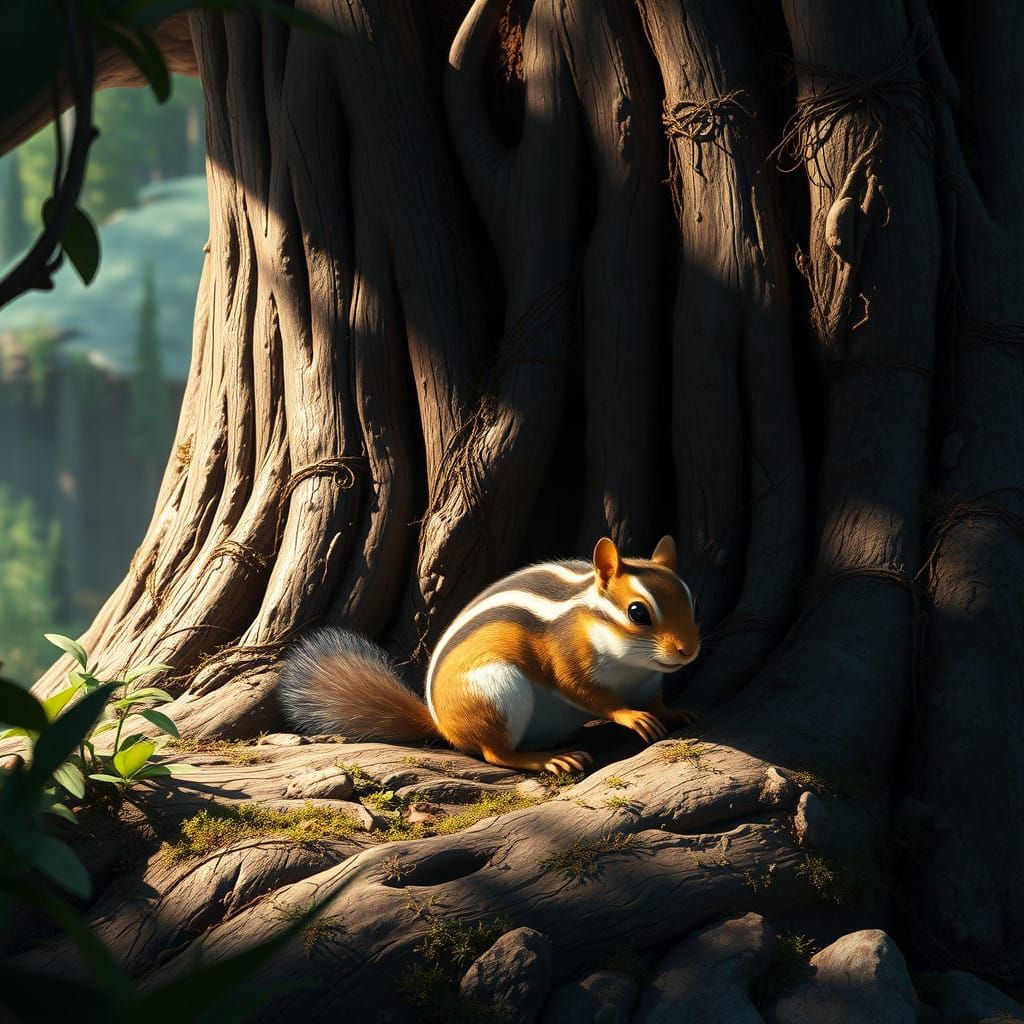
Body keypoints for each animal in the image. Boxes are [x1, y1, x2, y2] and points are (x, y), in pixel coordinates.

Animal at [277, 535, 701, 774]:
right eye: (638, 613)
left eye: (692, 601)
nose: (689, 651)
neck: (631, 667)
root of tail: (442, 725)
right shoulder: (567, 658)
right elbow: (585, 692)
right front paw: (631, 716)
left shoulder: (648, 681)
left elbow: (657, 699)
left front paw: (675, 712)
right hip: (498, 693)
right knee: (494, 753)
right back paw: (547, 759)